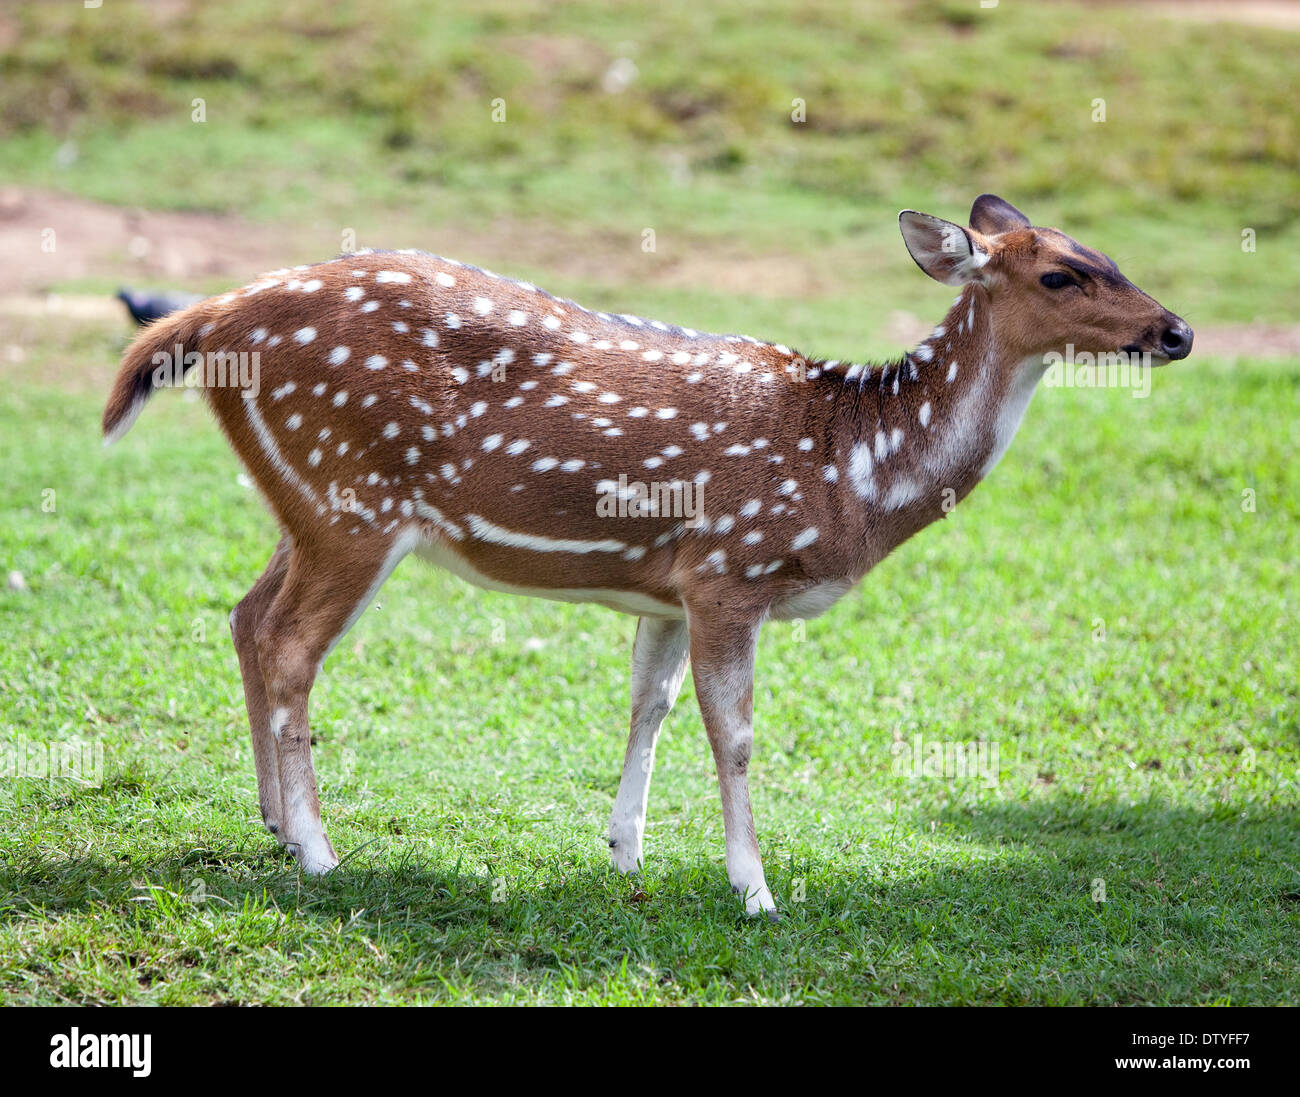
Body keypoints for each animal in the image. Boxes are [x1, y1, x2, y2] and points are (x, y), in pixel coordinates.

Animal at [102, 194, 1192, 918]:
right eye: (1059, 272)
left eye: (1108, 250)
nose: (1176, 330)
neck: (854, 472)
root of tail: (202, 317)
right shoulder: (730, 571)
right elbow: (735, 731)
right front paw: (754, 888)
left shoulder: (667, 590)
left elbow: (649, 705)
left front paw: (626, 851)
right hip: (350, 504)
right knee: (289, 643)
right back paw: (322, 851)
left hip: (303, 506)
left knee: (246, 615)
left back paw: (273, 823)